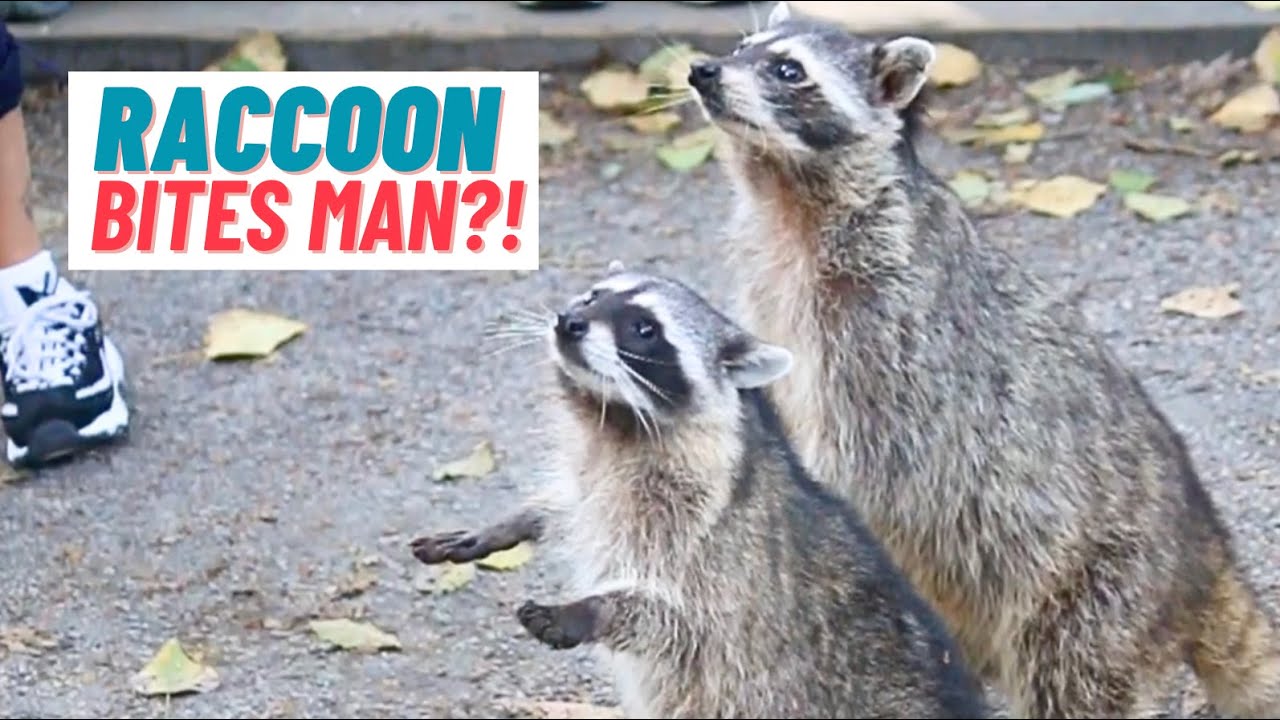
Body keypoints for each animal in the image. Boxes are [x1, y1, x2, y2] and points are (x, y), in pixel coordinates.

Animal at [410, 262, 990, 719]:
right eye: (595, 295)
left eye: (644, 329)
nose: (567, 321)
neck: (613, 421)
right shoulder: (593, 477)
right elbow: (564, 502)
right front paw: (507, 524)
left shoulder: (713, 533)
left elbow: (685, 619)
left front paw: (596, 609)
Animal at [685, 2, 1280, 717]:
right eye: (741, 46)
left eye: (788, 70)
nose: (702, 70)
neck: (782, 196)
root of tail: (1203, 541)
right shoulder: (769, 302)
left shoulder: (893, 335)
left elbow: (872, 463)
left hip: (1095, 586)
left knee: (1072, 676)